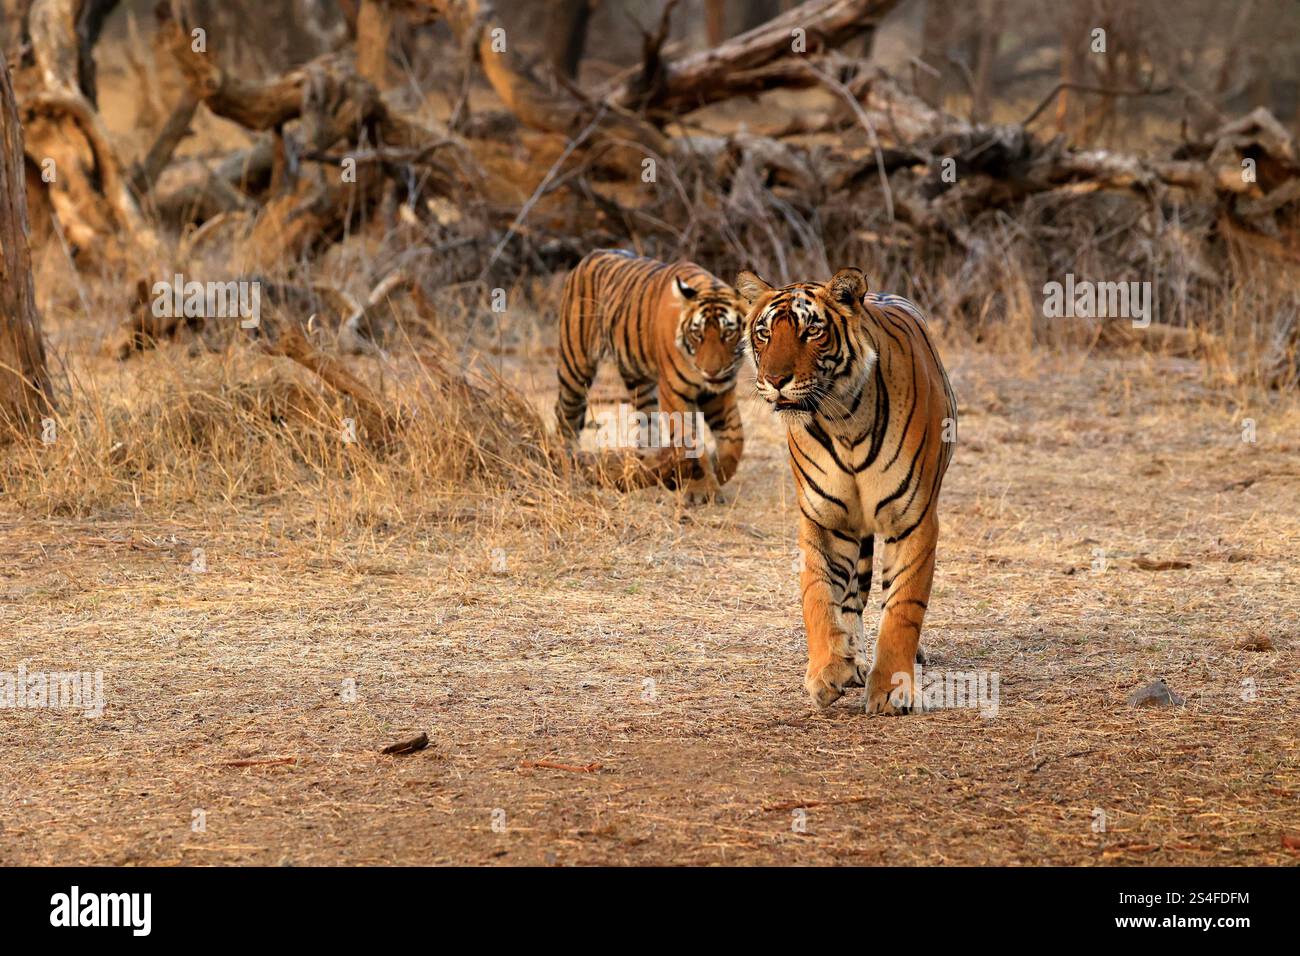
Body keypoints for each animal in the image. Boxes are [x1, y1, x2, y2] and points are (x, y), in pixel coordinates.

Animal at [555, 249, 747, 501]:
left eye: (728, 333)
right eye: (698, 334)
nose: (711, 371)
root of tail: (590, 255)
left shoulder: (720, 393)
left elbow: (735, 439)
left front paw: (717, 469)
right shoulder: (674, 393)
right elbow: (690, 441)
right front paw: (701, 489)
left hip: (639, 382)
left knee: (646, 423)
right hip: (575, 365)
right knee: (565, 413)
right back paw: (567, 461)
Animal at [735, 267, 957, 714]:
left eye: (811, 331)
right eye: (764, 333)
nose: (775, 380)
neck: (843, 419)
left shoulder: (914, 520)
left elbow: (903, 607)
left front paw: (891, 691)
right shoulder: (824, 518)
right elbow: (819, 597)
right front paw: (828, 671)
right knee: (853, 596)